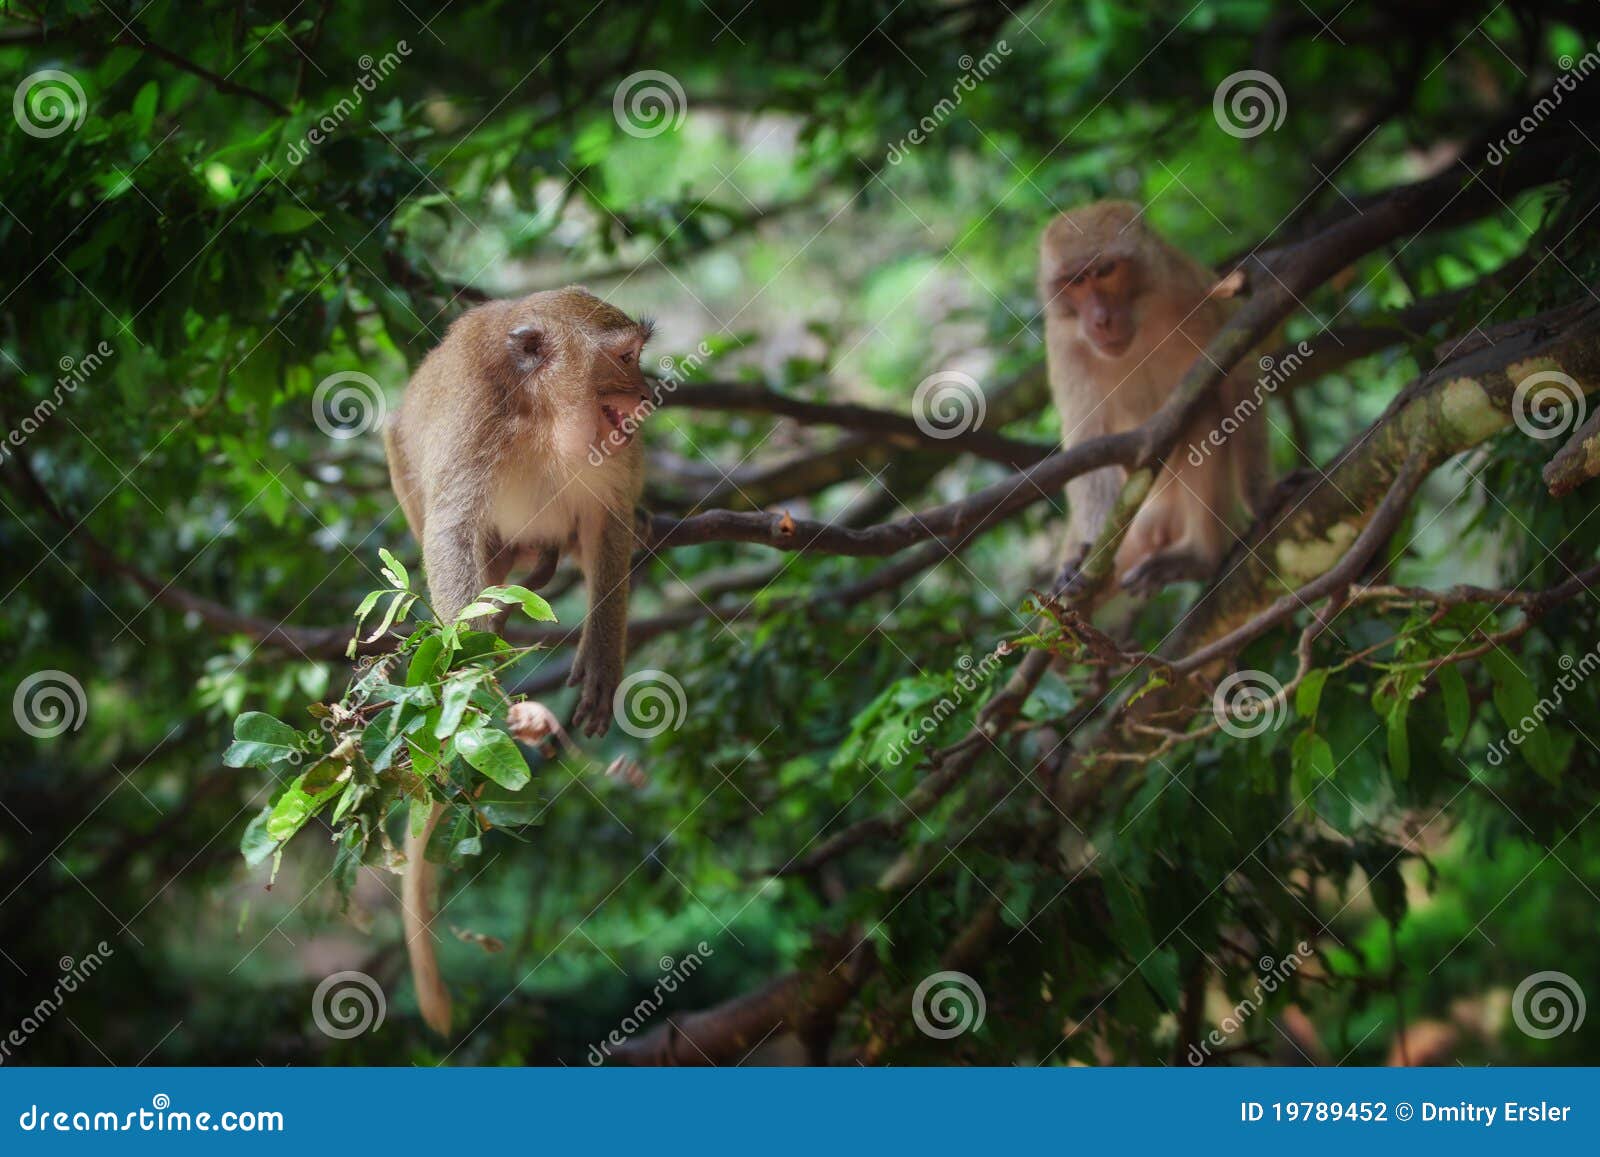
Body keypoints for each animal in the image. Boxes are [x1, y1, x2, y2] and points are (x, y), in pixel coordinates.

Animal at [383, 285, 654, 1034]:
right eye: (626, 357)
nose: (650, 392)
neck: (540, 414)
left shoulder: (614, 454)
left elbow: (612, 516)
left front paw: (602, 655)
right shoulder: (475, 415)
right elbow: (449, 531)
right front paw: (486, 690)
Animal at [1038, 200, 1267, 593]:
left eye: (1106, 271)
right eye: (1077, 281)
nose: (1100, 320)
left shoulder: (1190, 289)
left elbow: (1239, 375)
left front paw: (1263, 497)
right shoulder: (1065, 344)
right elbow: (1088, 440)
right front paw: (1080, 560)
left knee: (1201, 412)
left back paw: (1200, 556)